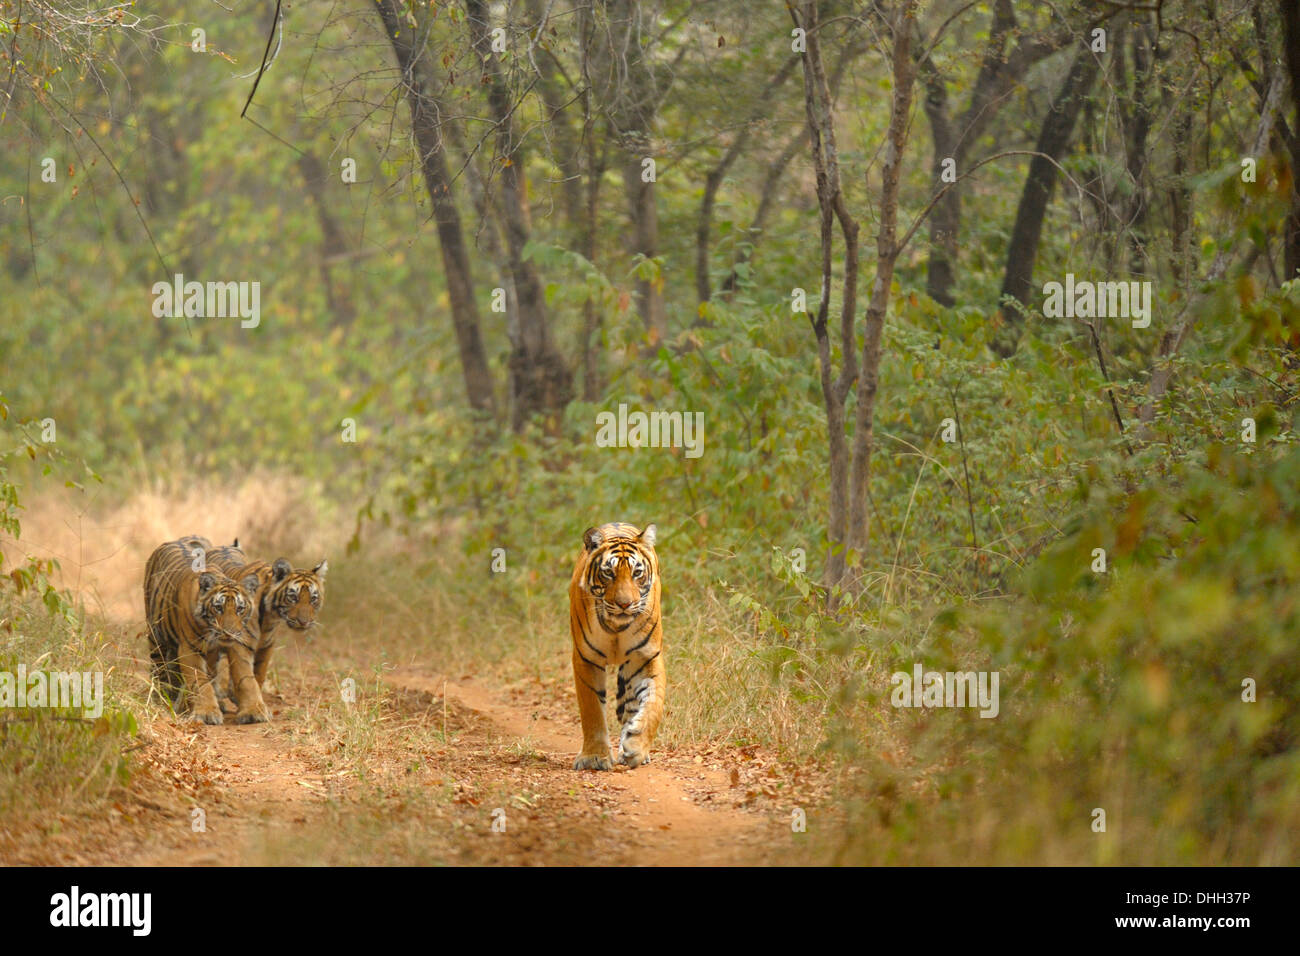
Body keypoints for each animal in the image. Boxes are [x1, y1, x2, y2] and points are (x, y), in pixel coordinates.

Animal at [144, 536, 260, 725]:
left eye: (240, 609)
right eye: (218, 608)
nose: (229, 633)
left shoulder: (217, 651)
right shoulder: (190, 648)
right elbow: (200, 681)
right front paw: (207, 713)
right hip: (155, 635)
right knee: (158, 667)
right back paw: (160, 698)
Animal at [206, 540, 327, 720]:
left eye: (313, 598)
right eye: (293, 597)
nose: (304, 622)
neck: (270, 616)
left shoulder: (266, 646)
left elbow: (258, 675)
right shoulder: (240, 644)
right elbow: (246, 678)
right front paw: (253, 712)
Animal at [569, 522, 664, 770]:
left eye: (637, 573)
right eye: (608, 573)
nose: (624, 604)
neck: (616, 628)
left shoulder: (647, 657)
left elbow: (654, 705)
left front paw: (636, 746)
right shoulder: (586, 658)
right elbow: (592, 709)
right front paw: (594, 757)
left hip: (631, 668)